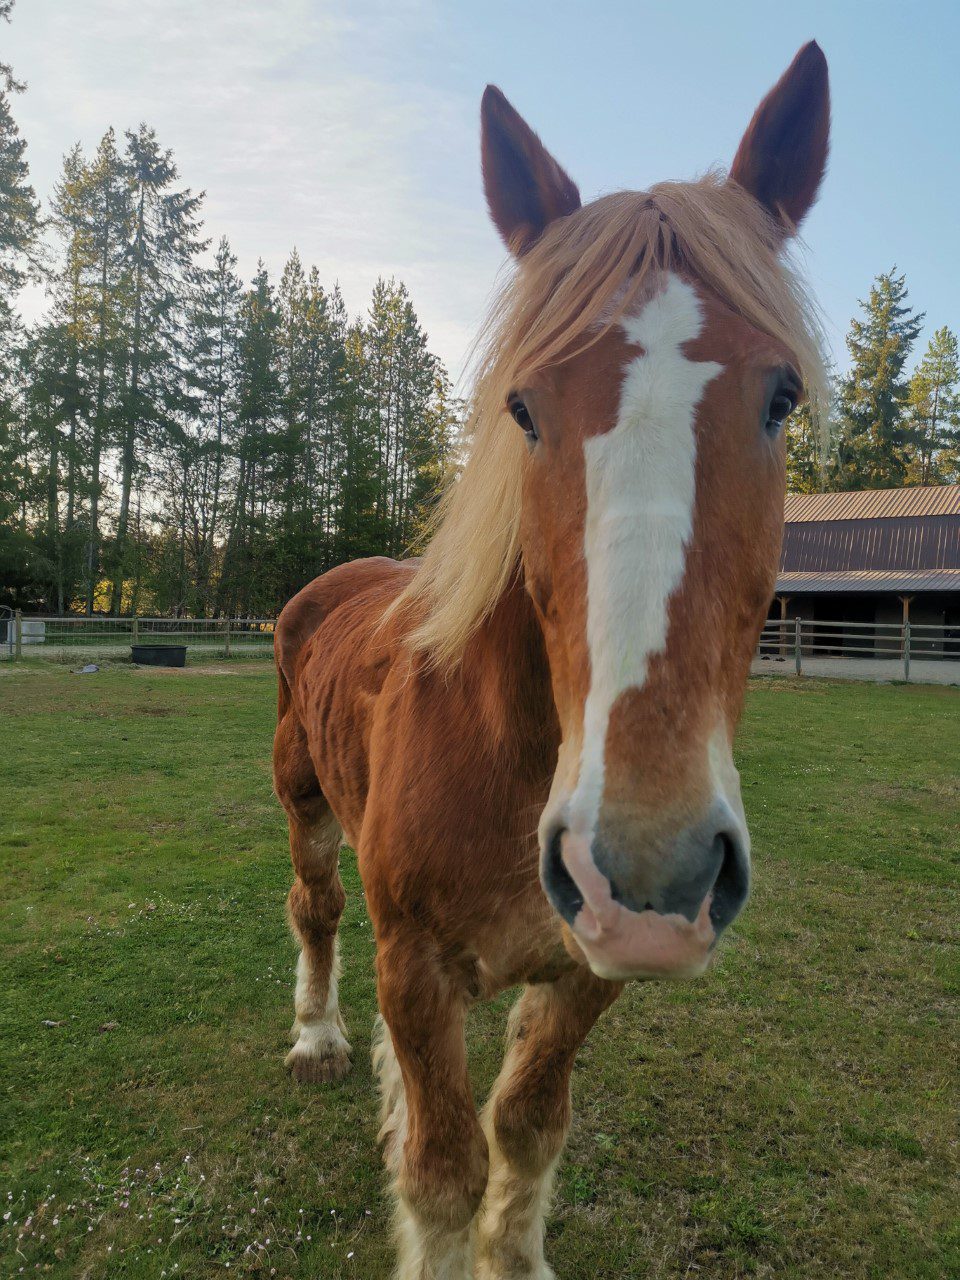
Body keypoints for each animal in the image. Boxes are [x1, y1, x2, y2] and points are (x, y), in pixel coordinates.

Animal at [273, 41, 830, 1280]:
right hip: (304, 801)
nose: (650, 864)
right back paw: (318, 1033)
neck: (506, 748)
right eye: (523, 406)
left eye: (783, 396)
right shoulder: (416, 965)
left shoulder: (582, 973)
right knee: (314, 908)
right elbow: (441, 1168)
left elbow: (524, 1130)